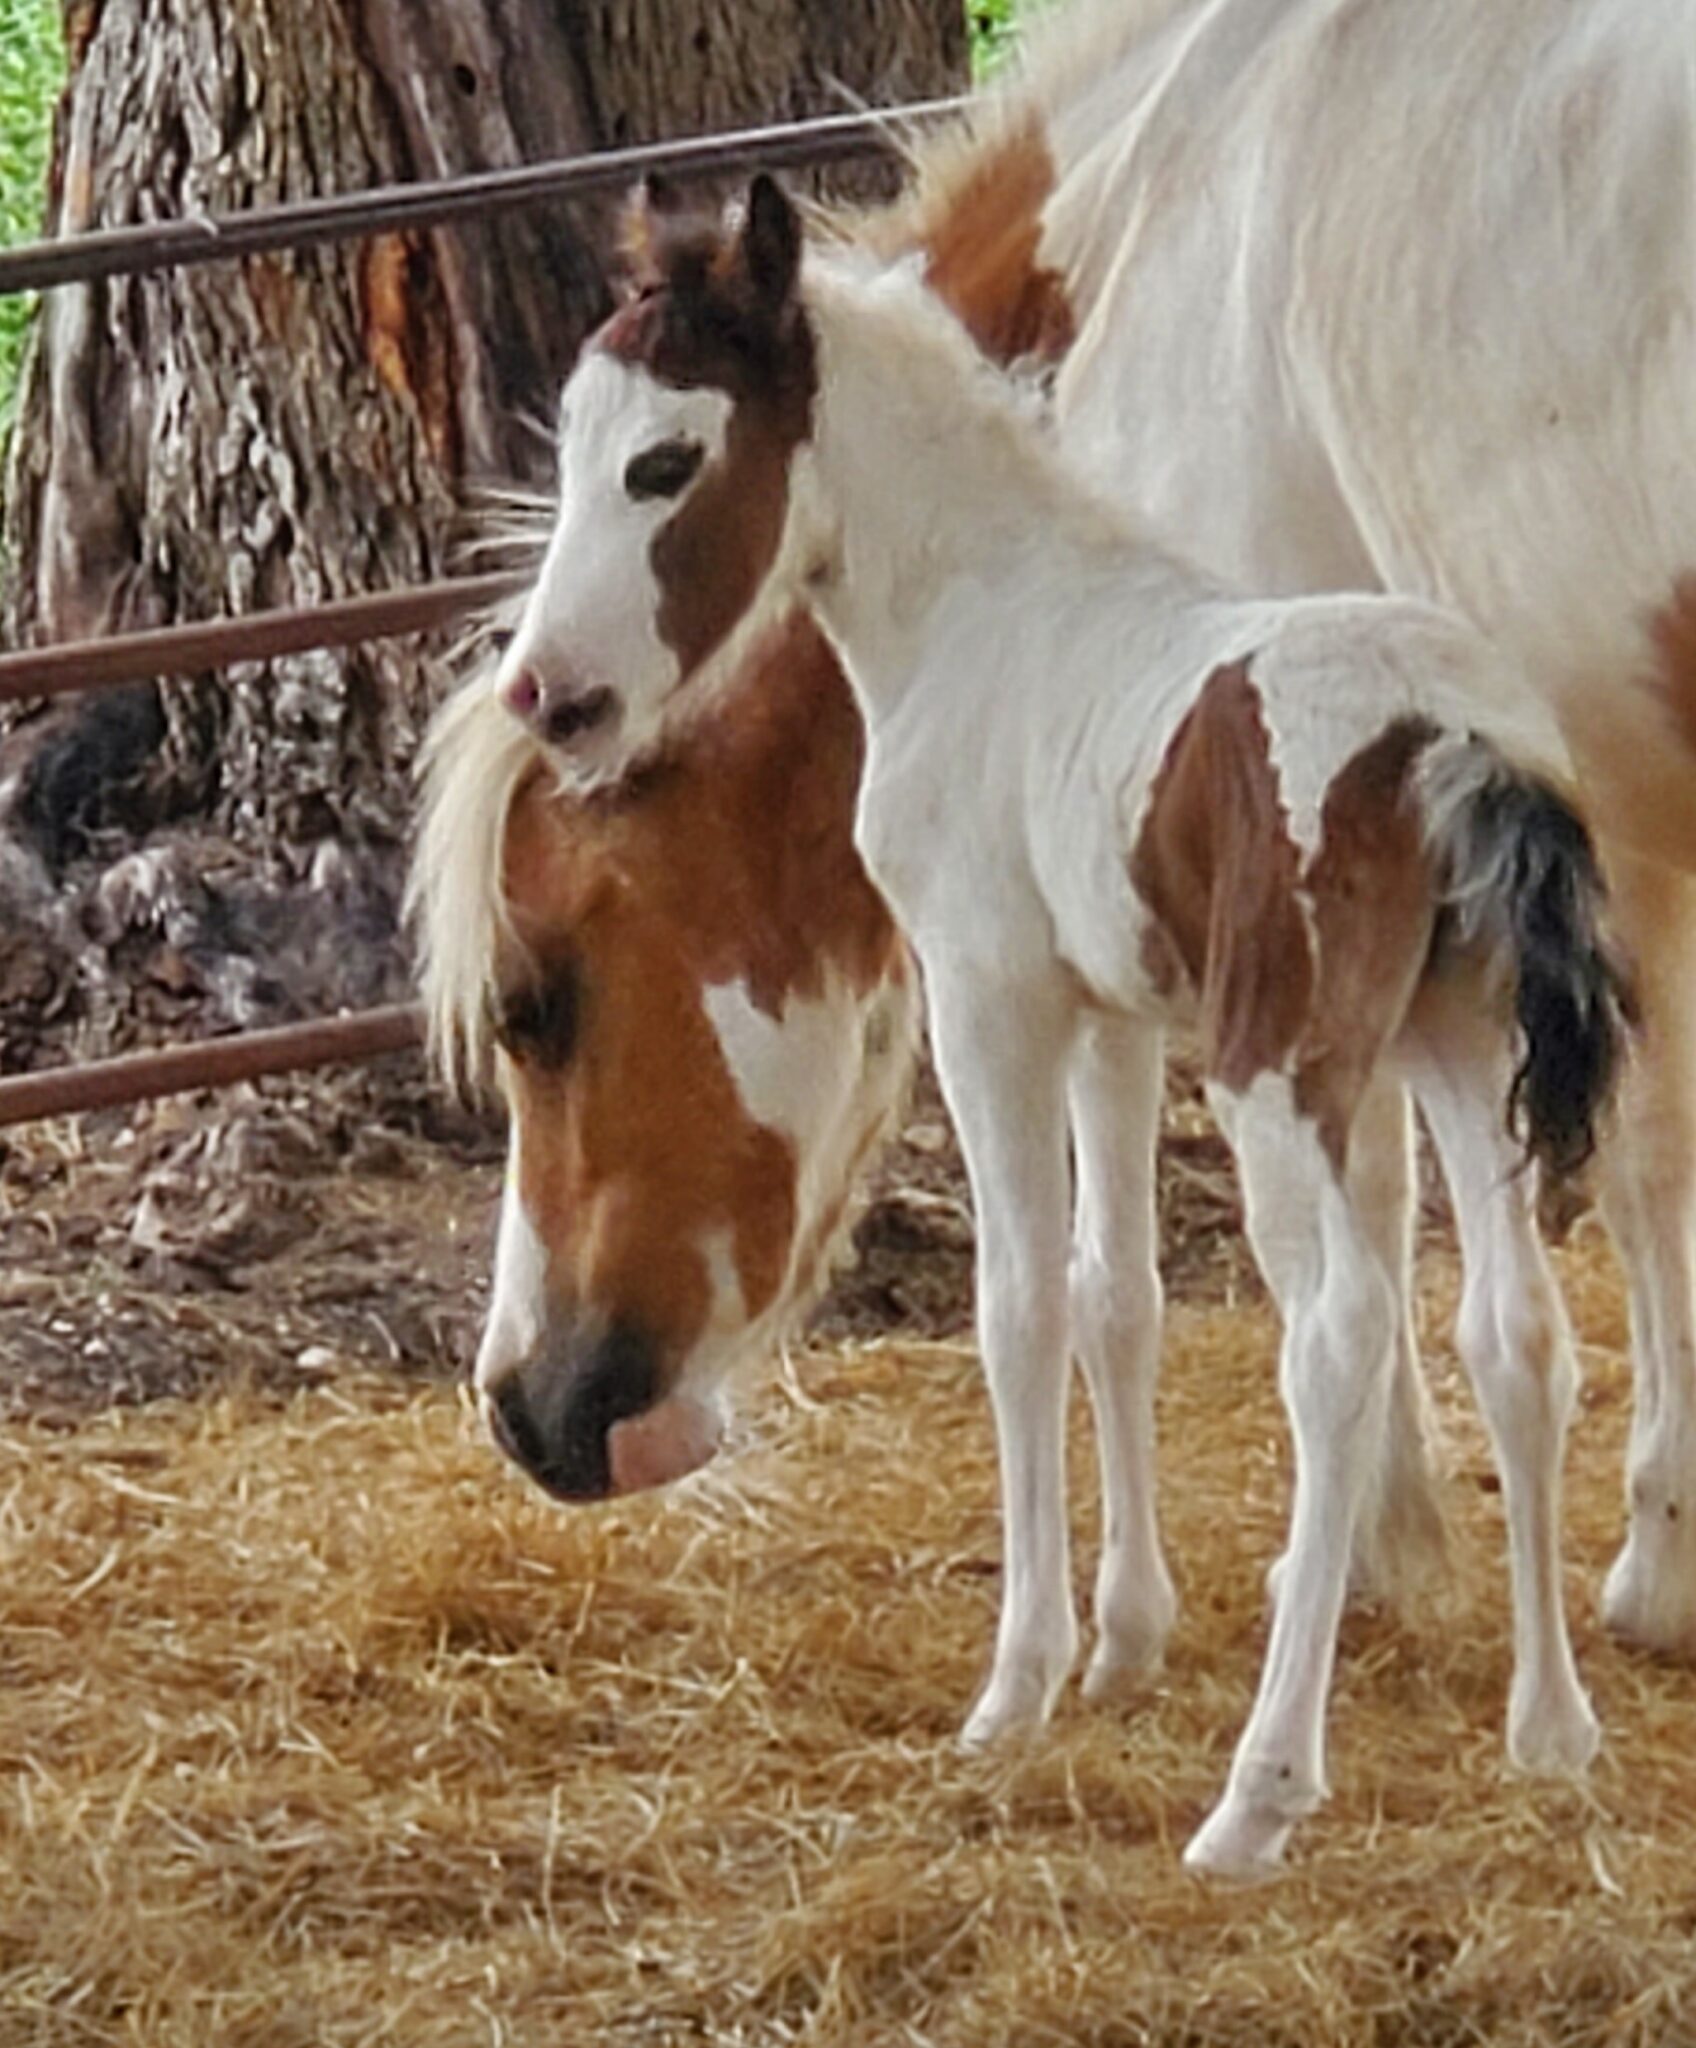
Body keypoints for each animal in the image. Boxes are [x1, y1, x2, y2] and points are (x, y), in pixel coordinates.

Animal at [467, 172, 1634, 1876]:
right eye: (567, 444)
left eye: (663, 462)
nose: (549, 695)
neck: (987, 615)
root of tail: (1448, 733)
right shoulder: (1115, 1017)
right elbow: (1116, 1297)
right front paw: (1125, 1643)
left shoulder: (992, 1000)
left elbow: (1017, 1310)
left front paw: (1019, 1680)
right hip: (1457, 1045)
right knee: (1517, 1328)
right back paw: (1550, 1731)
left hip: (1284, 1071)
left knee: (1341, 1337)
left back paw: (1260, 1794)